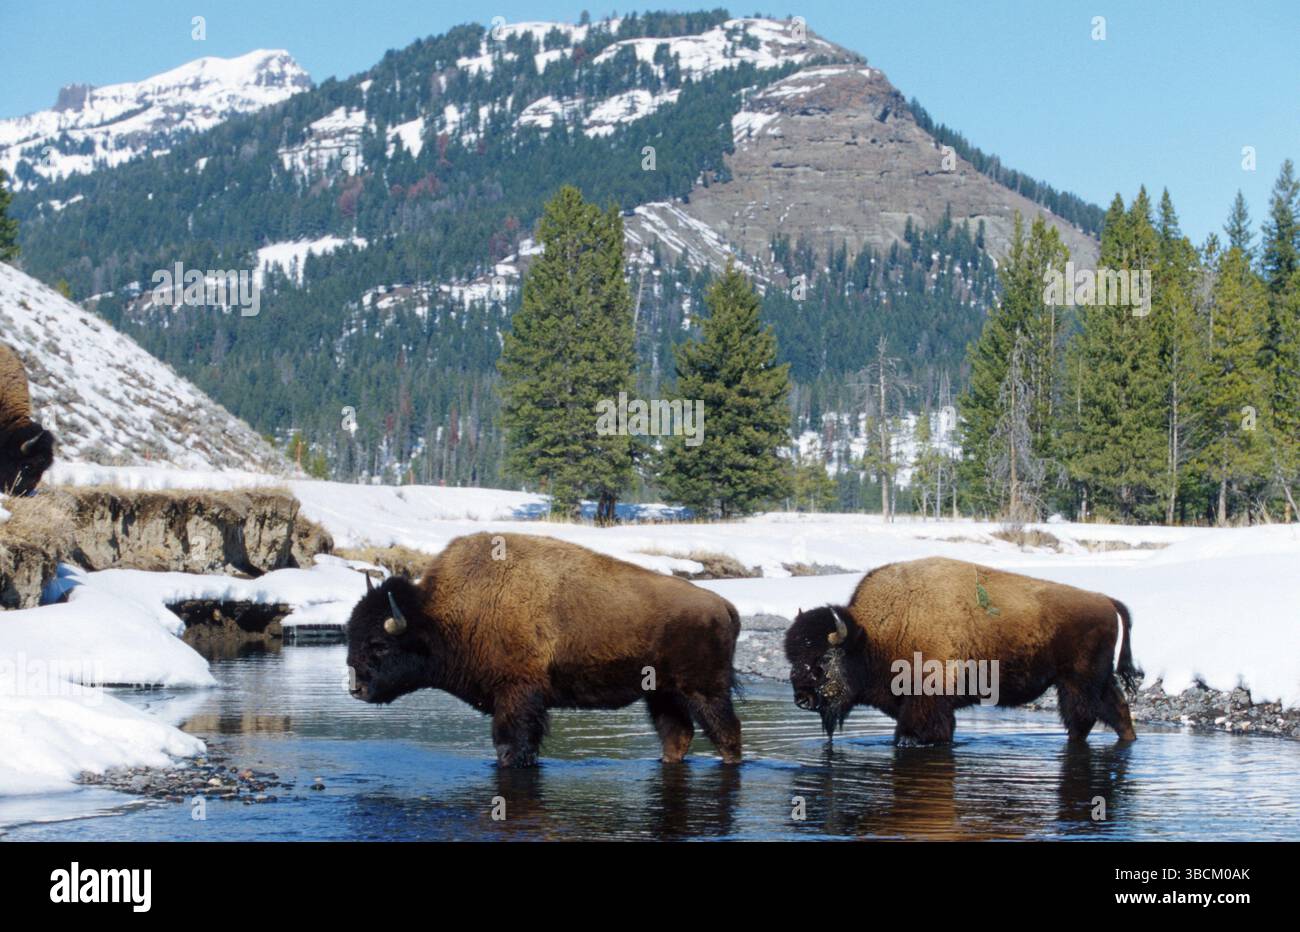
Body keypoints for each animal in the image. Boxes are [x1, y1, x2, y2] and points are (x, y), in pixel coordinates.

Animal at [346, 532, 743, 767]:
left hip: (704, 690)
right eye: (350, 635)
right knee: (677, 735)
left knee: (726, 733)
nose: (356, 687)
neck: (440, 616)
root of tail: (723, 604)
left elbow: (511, 746)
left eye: (379, 645)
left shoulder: (516, 697)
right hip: (661, 694)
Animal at [785, 557, 1139, 745]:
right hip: (1097, 680)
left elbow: (918, 732)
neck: (872, 635)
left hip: (1077, 681)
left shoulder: (927, 701)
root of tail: (1106, 600)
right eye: (793, 658)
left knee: (1084, 717)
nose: (802, 699)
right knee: (1116, 712)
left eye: (824, 659)